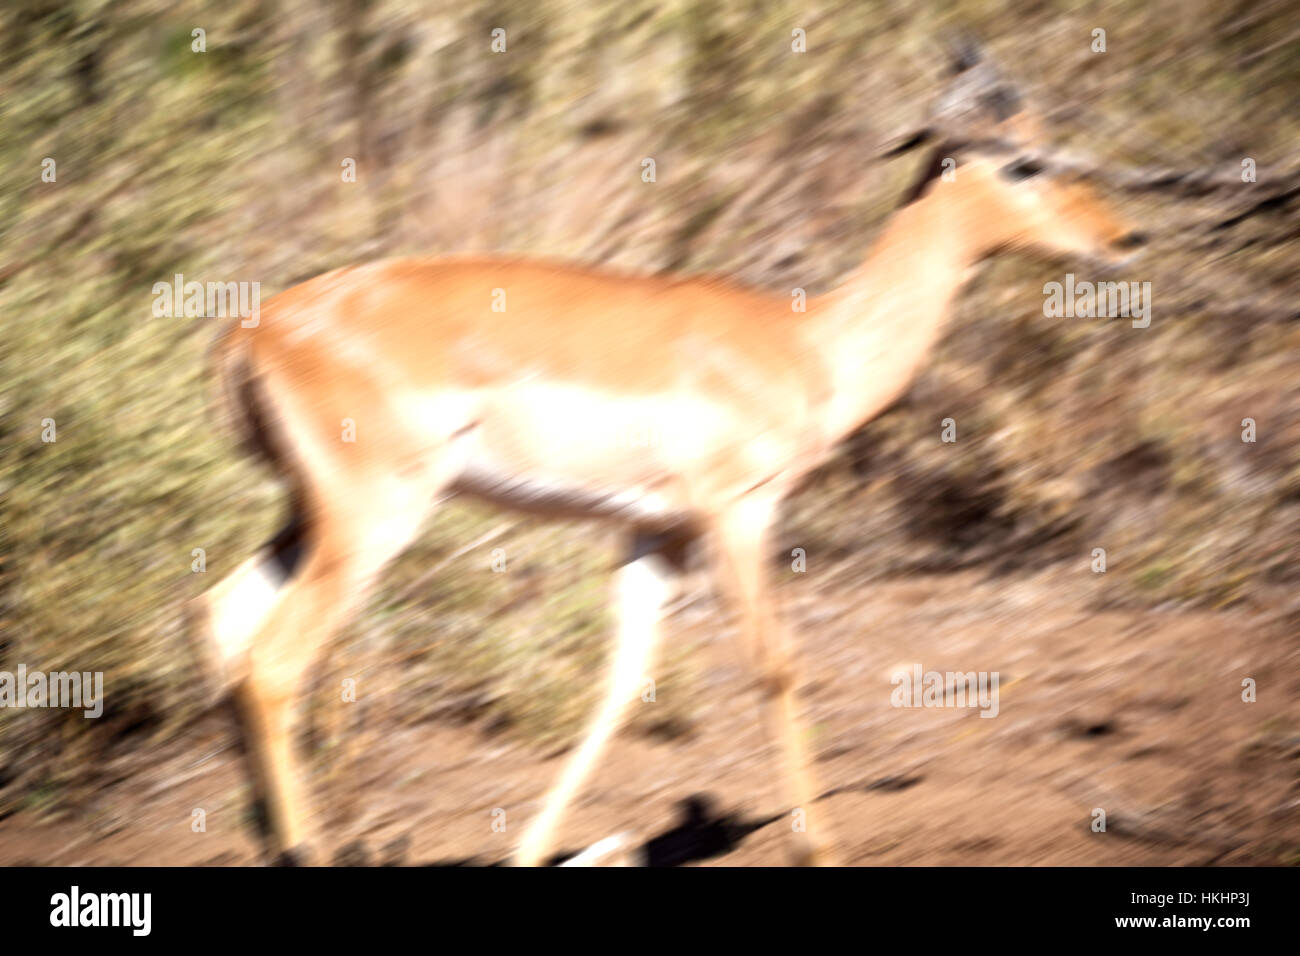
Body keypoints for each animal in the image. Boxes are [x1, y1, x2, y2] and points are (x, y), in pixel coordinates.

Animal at [191, 43, 1144, 866]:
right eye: (1024, 162)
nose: (1124, 239)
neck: (808, 341)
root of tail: (252, 329)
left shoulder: (655, 535)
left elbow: (623, 680)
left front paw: (531, 851)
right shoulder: (741, 512)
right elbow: (776, 666)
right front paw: (819, 849)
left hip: (306, 518)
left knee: (223, 622)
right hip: (373, 517)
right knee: (273, 665)